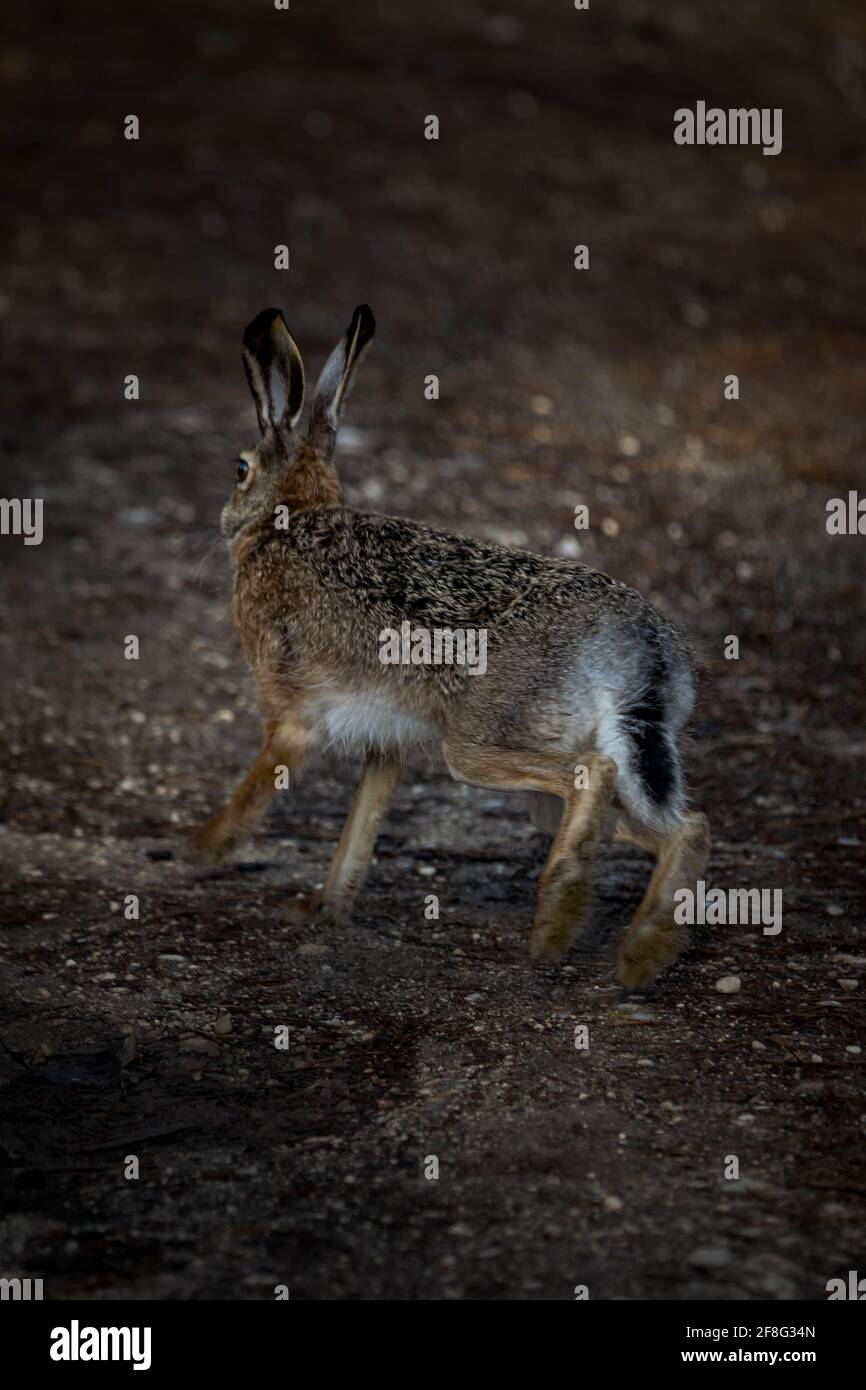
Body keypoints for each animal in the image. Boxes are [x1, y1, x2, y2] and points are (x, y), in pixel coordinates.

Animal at [193, 304, 710, 988]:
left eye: (239, 469)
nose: (224, 517)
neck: (289, 520)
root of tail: (637, 655)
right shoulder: (385, 746)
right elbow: (359, 831)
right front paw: (321, 909)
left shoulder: (294, 717)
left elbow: (258, 791)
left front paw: (202, 848)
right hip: (604, 760)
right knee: (683, 829)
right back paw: (641, 952)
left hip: (478, 743)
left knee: (592, 779)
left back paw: (556, 924)